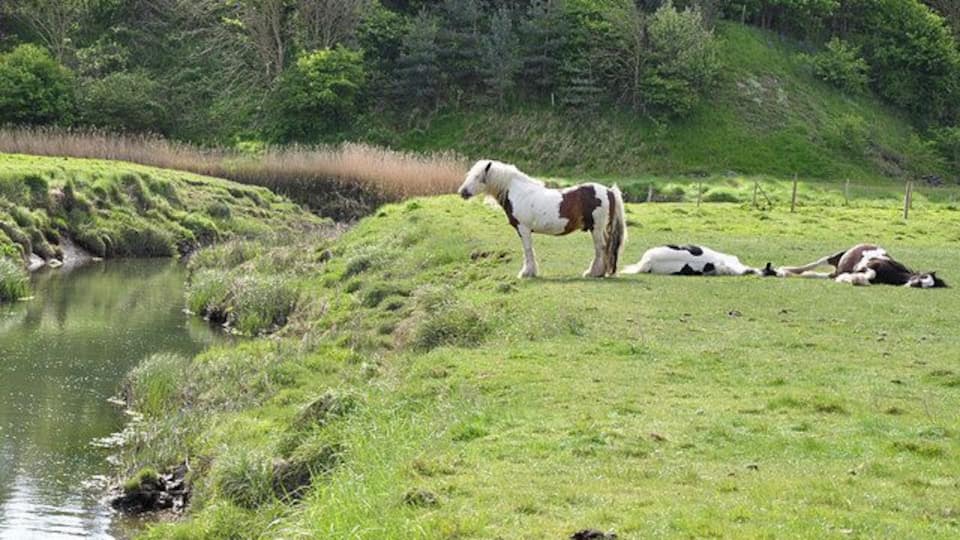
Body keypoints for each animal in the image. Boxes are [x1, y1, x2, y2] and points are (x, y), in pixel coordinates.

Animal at [457, 160, 626, 278]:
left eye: (478, 177)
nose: (462, 192)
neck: (518, 192)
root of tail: (608, 191)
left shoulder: (523, 229)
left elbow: (527, 250)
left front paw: (527, 273)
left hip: (597, 229)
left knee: (601, 248)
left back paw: (593, 273)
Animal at [775, 243, 947, 288]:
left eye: (928, 284)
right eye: (923, 276)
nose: (914, 284)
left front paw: (850, 279)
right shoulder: (870, 265)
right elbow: (867, 273)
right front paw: (854, 279)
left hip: (834, 270)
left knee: (818, 274)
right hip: (835, 257)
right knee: (815, 264)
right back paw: (784, 270)